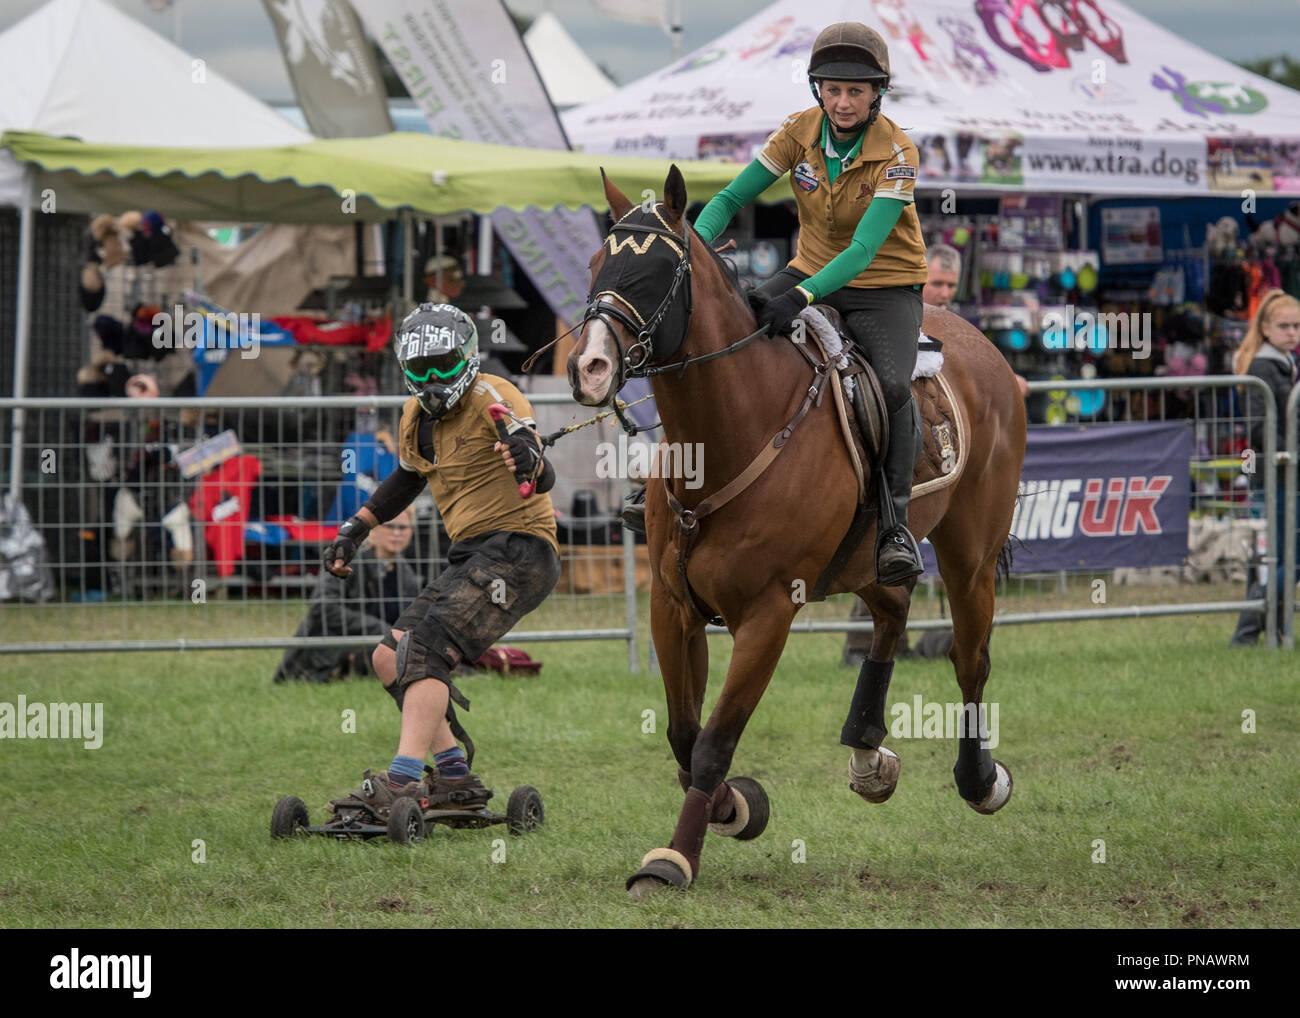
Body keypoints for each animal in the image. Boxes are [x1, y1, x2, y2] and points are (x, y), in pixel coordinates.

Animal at [567, 166, 1027, 897]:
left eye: (658, 271)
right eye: (596, 263)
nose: (588, 367)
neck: (736, 428)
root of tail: (985, 347)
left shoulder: (769, 613)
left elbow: (713, 742)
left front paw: (675, 857)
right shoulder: (673, 606)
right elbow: (682, 734)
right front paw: (734, 806)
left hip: (969, 556)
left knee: (970, 659)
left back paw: (979, 779)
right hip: (862, 560)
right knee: (892, 611)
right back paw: (868, 750)